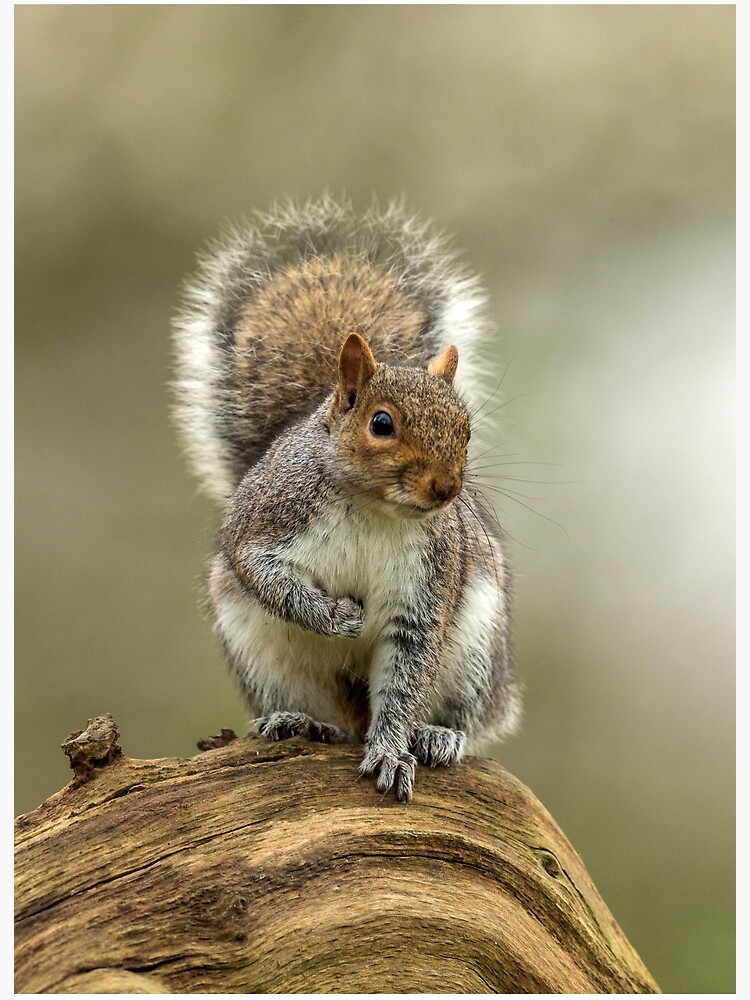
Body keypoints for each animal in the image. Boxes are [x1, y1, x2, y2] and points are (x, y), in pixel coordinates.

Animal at [172, 196, 520, 802]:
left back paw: (435, 735)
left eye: (466, 429)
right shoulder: (265, 518)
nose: (447, 488)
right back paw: (301, 723)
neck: (375, 509)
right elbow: (267, 577)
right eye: (381, 423)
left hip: (477, 645)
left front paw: (391, 751)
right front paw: (336, 617)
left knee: (461, 713)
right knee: (325, 717)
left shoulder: (429, 589)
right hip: (263, 656)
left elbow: (406, 679)